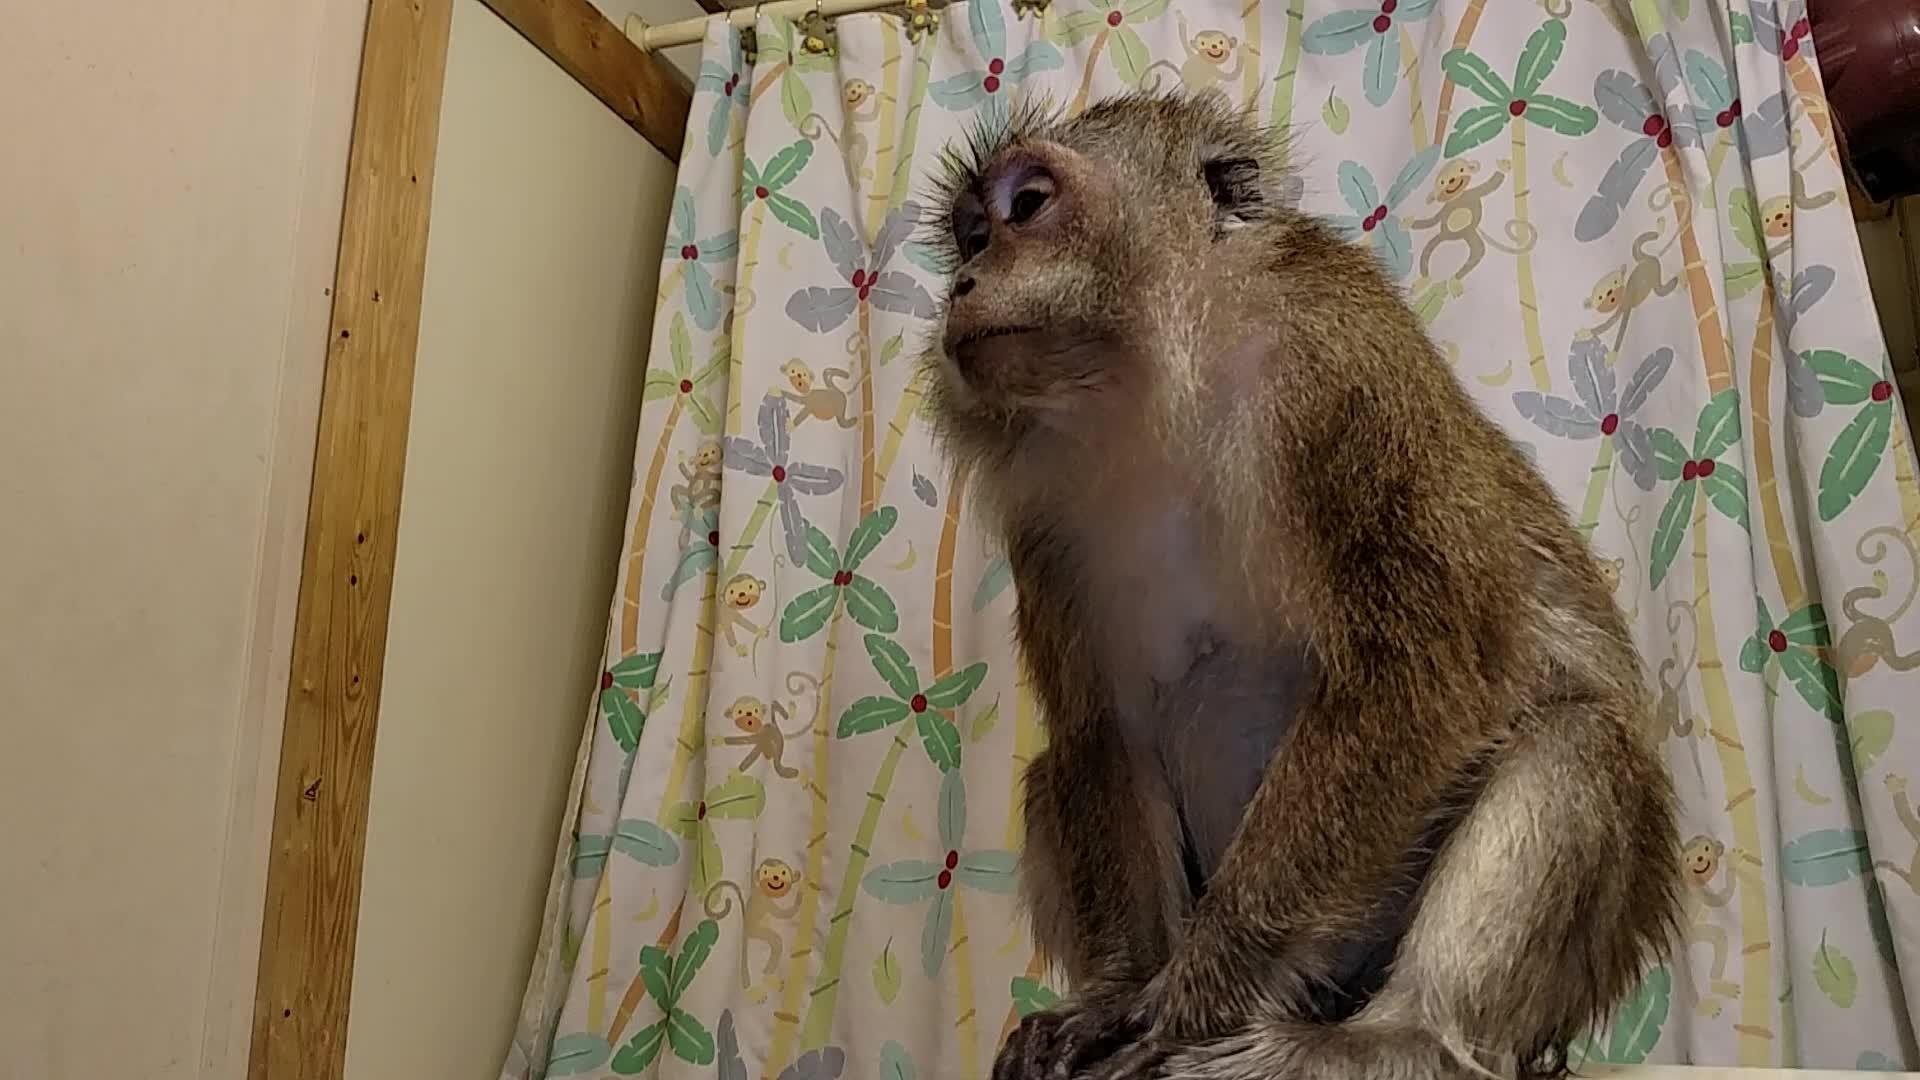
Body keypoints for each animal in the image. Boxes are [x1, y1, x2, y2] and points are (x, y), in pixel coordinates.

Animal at [704, 856, 804, 989]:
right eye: (765, 872)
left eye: (783, 872)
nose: (775, 878)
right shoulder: (766, 901)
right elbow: (784, 914)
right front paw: (799, 897)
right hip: (756, 931)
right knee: (776, 941)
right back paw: (767, 972)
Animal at [1410, 158, 1538, 285]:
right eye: (1442, 182)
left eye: (1462, 170)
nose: (1451, 180)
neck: (1458, 197)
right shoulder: (1443, 211)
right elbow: (1431, 221)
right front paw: (1409, 222)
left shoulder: (1475, 192)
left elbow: (1492, 184)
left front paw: (1503, 167)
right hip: (1442, 236)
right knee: (1427, 253)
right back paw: (1425, 280)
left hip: (1468, 236)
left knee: (1476, 253)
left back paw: (1454, 282)